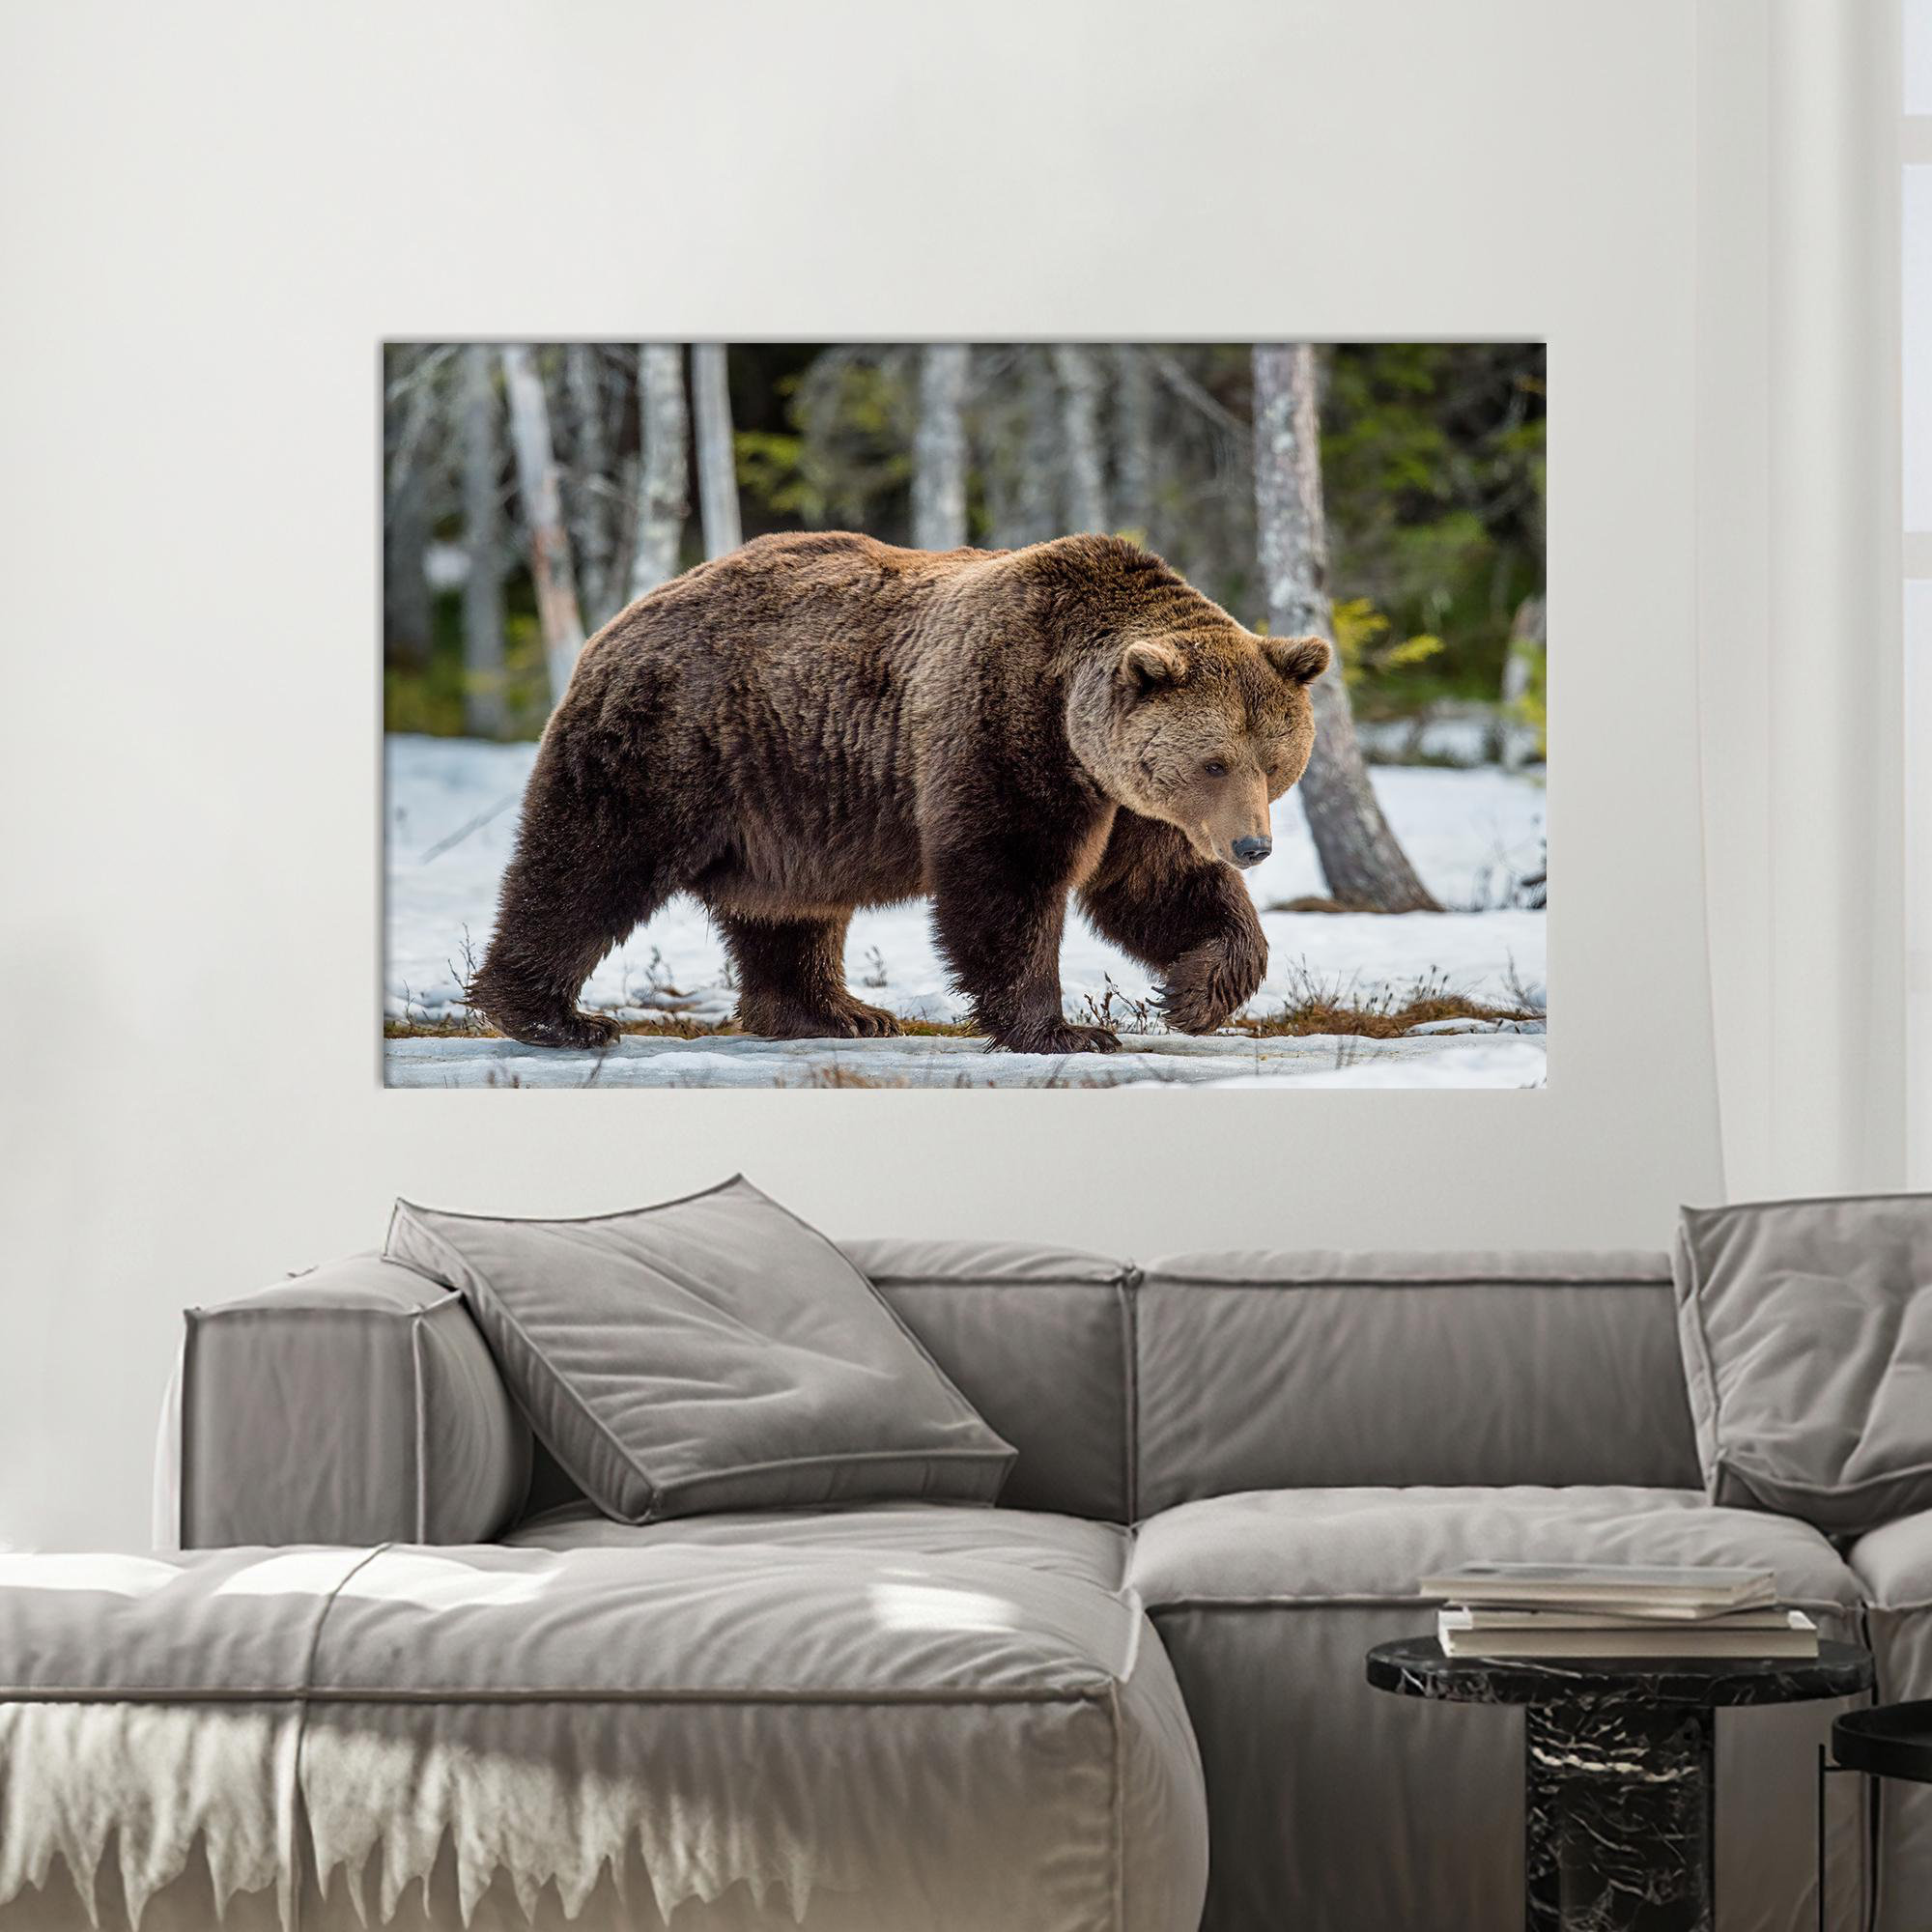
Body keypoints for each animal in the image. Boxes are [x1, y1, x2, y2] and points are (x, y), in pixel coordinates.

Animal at [468, 530, 1330, 1055]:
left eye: (1274, 760)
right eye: (1214, 761)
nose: (1253, 845)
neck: (1071, 716)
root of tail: (623, 618)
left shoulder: (1129, 801)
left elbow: (1159, 886)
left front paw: (1191, 993)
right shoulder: (1003, 727)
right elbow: (1008, 879)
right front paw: (1063, 1030)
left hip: (786, 800)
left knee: (787, 911)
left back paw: (837, 1012)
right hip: (674, 744)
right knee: (589, 864)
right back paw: (555, 1016)